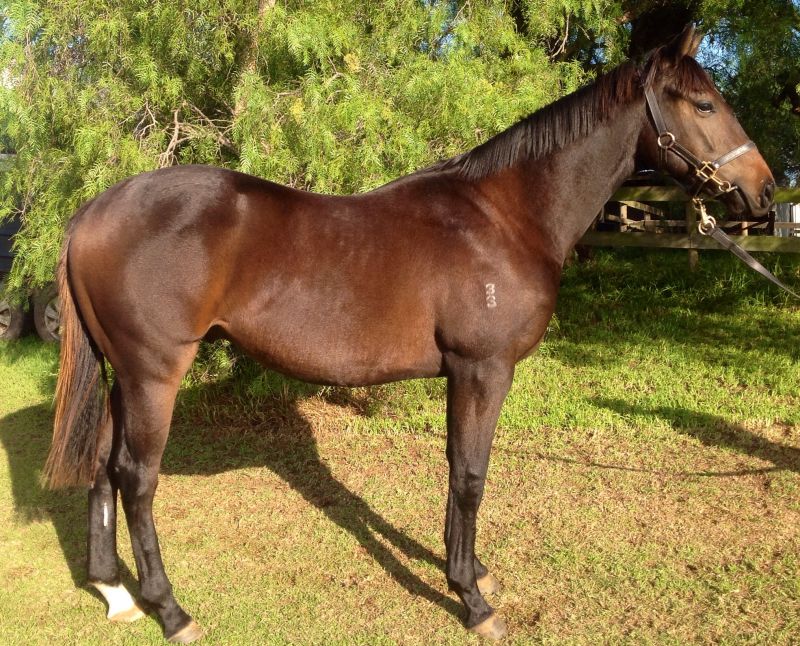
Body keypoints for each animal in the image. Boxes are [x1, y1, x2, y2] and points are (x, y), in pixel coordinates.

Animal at [44, 25, 774, 643]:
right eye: (704, 105)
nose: (765, 192)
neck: (504, 217)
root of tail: (93, 212)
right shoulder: (483, 369)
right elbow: (472, 474)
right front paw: (472, 602)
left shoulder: (464, 373)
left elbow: (457, 468)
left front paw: (471, 573)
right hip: (153, 374)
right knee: (137, 478)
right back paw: (171, 610)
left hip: (122, 376)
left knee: (104, 468)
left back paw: (115, 594)